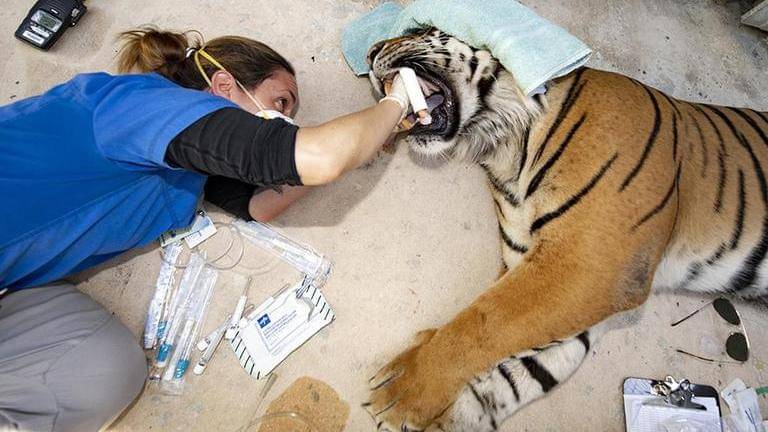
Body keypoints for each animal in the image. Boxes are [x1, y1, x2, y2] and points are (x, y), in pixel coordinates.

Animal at [362, 28, 768, 432]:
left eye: (419, 31)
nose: (371, 51)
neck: (506, 151)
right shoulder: (542, 269)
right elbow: (517, 372)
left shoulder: (590, 265)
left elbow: (486, 322)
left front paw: (405, 386)